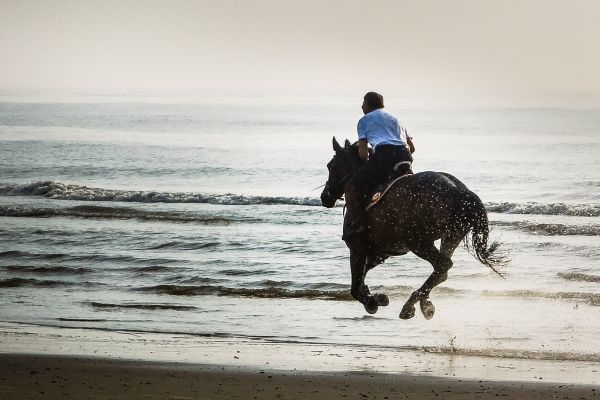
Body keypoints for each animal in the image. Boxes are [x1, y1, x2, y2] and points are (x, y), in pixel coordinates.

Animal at [322, 139, 504, 320]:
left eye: (331, 165)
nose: (325, 197)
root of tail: (461, 191)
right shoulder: (380, 253)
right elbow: (361, 280)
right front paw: (376, 297)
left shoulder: (357, 249)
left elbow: (355, 286)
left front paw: (372, 301)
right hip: (450, 237)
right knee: (442, 270)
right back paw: (423, 303)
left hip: (419, 243)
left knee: (443, 266)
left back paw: (411, 305)